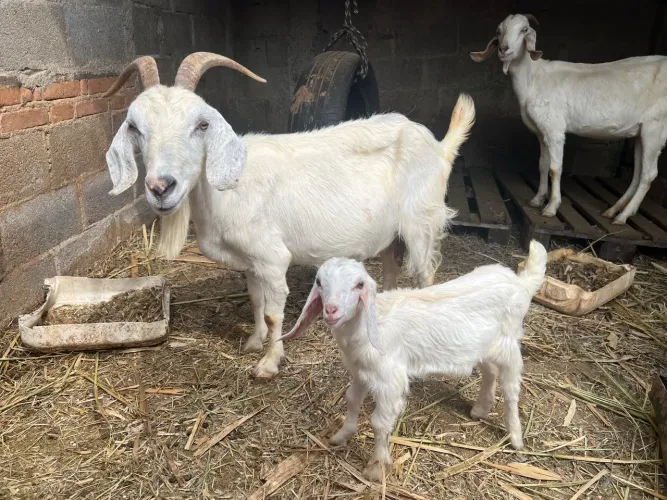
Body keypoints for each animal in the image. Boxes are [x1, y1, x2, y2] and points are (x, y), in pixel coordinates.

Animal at [103, 53, 475, 378]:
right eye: (134, 127)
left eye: (202, 124)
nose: (160, 187)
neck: (230, 187)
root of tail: (439, 147)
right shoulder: (250, 263)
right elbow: (254, 301)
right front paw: (253, 343)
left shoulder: (272, 258)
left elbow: (271, 314)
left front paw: (269, 364)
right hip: (390, 232)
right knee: (391, 265)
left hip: (421, 221)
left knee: (427, 273)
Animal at [280, 240, 547, 481]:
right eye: (319, 282)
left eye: (359, 285)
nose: (331, 310)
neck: (369, 326)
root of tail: (520, 283)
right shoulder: (361, 371)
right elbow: (352, 400)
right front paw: (342, 435)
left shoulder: (389, 380)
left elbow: (379, 423)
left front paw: (377, 468)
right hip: (482, 345)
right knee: (489, 371)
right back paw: (480, 409)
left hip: (509, 344)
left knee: (511, 391)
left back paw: (516, 438)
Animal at [470, 14, 667, 224]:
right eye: (499, 31)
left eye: (524, 30)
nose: (503, 49)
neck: (534, 78)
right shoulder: (541, 131)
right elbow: (542, 164)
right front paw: (537, 199)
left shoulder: (555, 129)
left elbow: (555, 169)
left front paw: (551, 207)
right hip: (640, 132)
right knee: (637, 174)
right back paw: (614, 210)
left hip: (655, 128)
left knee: (648, 175)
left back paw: (622, 217)